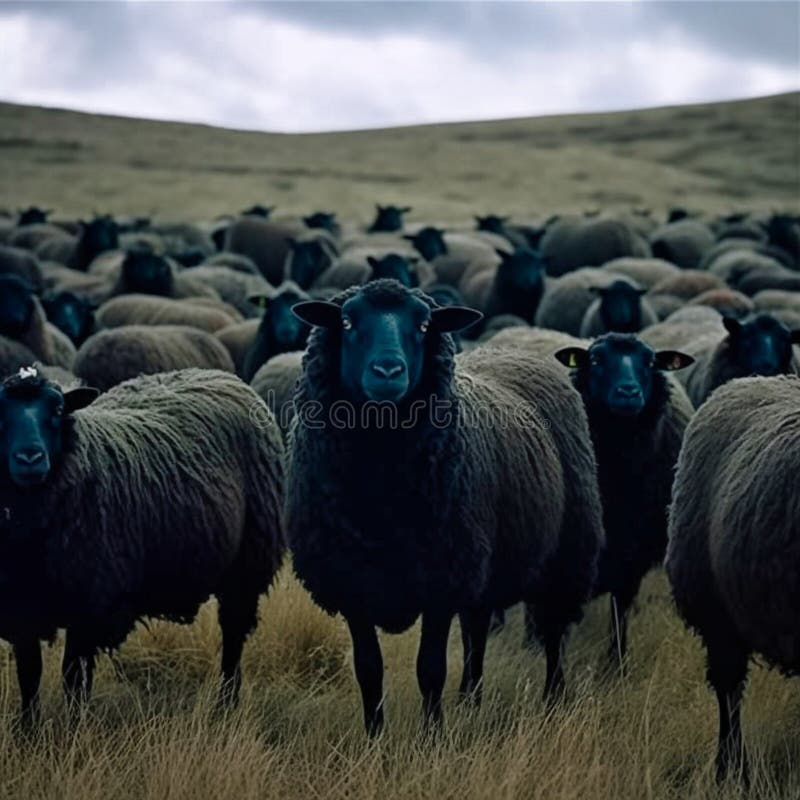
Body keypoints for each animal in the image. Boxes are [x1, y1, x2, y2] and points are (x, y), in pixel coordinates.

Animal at [0, 367, 284, 721]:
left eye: (58, 409)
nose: (30, 457)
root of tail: (218, 373)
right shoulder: (21, 608)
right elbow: (29, 675)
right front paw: (30, 728)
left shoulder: (90, 606)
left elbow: (73, 678)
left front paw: (75, 727)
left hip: (248, 564)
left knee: (233, 636)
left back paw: (226, 705)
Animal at [287, 280, 603, 734]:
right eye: (346, 321)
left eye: (423, 325)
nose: (388, 372)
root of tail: (513, 349)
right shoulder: (351, 582)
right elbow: (369, 669)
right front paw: (374, 736)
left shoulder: (442, 580)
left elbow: (430, 668)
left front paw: (432, 735)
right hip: (484, 564)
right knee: (476, 630)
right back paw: (470, 699)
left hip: (567, 554)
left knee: (554, 631)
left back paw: (554, 699)